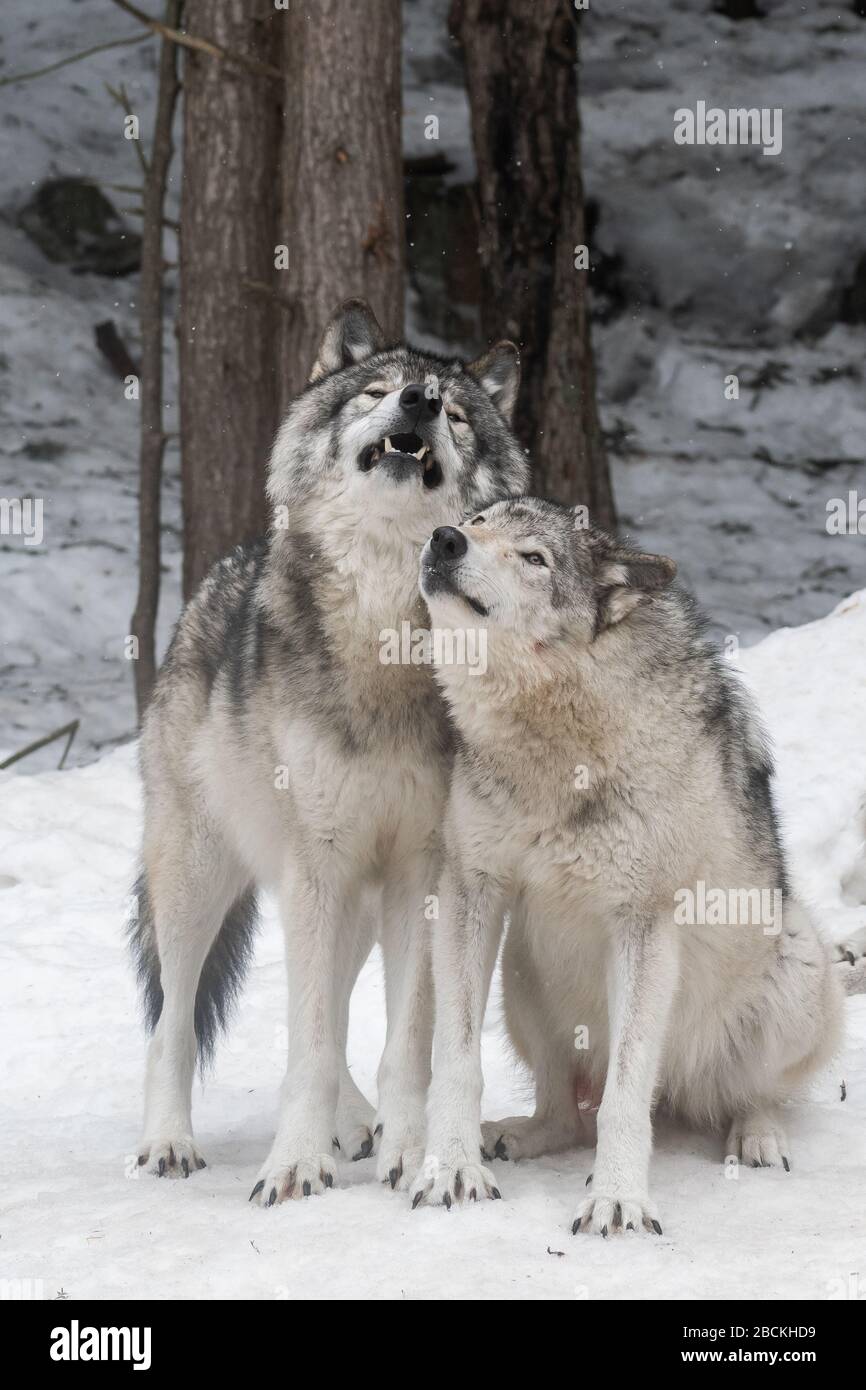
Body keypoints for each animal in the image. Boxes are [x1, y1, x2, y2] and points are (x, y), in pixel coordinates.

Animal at [129, 300, 528, 1203]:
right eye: (377, 391)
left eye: (457, 415)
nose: (418, 400)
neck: (382, 629)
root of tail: (219, 573)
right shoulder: (321, 861)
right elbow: (305, 1041)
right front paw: (293, 1165)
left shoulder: (422, 870)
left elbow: (402, 1041)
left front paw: (408, 1153)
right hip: (204, 878)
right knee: (173, 1020)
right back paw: (167, 1142)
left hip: (354, 904)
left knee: (341, 1013)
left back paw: (356, 1125)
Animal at [412, 496, 861, 1232]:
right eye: (478, 521)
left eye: (535, 558)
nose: (445, 538)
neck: (556, 743)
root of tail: (682, 1089)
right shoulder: (471, 890)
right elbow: (456, 1060)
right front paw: (452, 1170)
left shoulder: (643, 923)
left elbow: (625, 1095)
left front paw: (616, 1201)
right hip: (523, 982)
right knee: (565, 1110)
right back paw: (522, 1134)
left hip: (797, 965)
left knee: (752, 1092)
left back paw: (757, 1137)